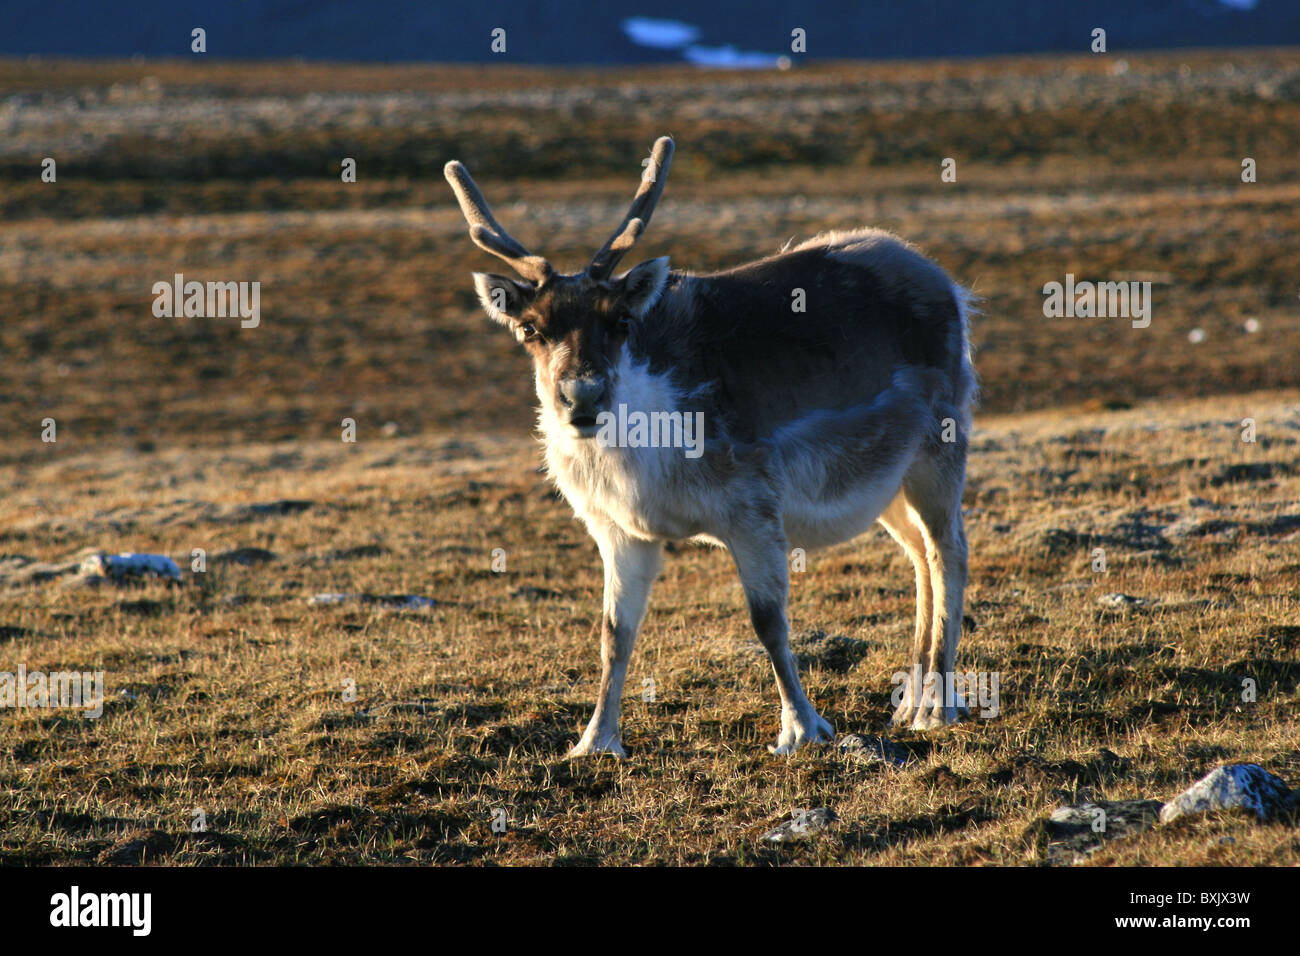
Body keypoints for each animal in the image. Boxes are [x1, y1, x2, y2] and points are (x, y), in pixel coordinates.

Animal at [444, 136, 976, 758]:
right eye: (530, 328)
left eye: (620, 321)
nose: (583, 398)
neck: (646, 462)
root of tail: (948, 284)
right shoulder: (618, 529)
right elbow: (613, 634)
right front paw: (595, 740)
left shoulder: (751, 508)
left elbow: (768, 621)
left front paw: (802, 729)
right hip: (888, 483)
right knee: (917, 556)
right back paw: (908, 702)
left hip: (939, 449)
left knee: (947, 552)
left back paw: (937, 709)